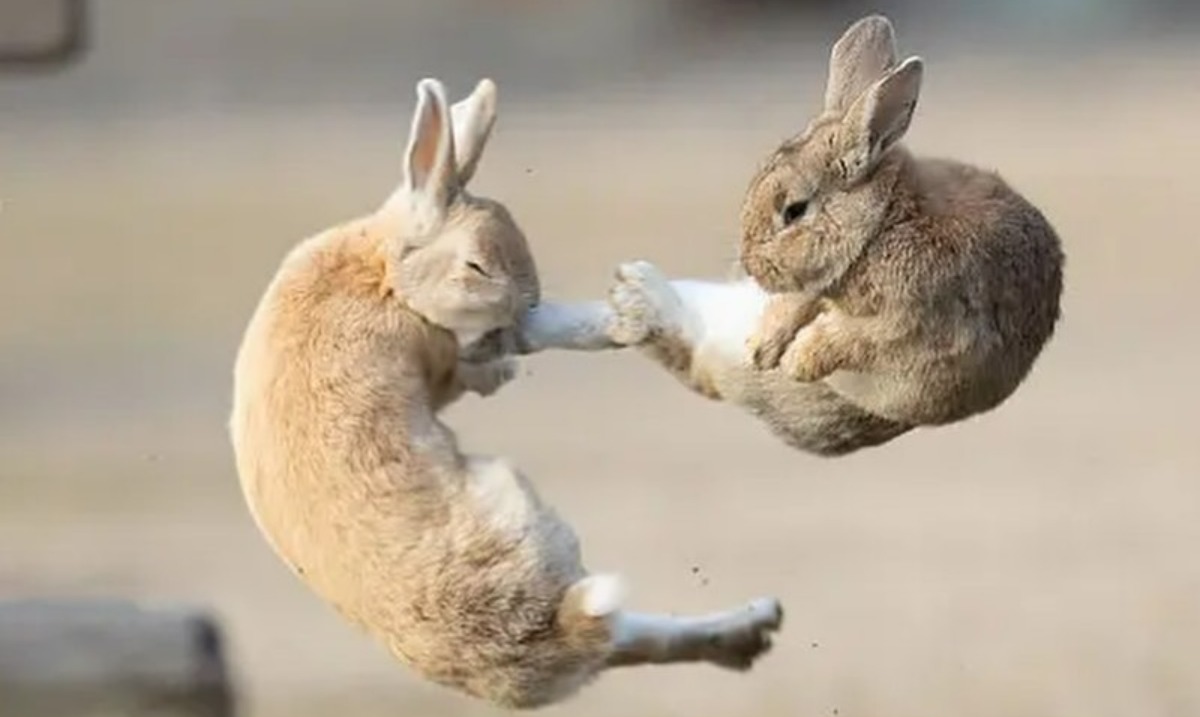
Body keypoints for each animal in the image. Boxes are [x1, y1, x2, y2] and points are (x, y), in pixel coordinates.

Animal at [229, 77, 783, 710]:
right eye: (475, 266)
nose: (522, 307)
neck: (385, 273)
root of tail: (556, 632)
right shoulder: (443, 356)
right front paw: (590, 331)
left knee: (634, 640)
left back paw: (754, 625)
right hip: (521, 505)